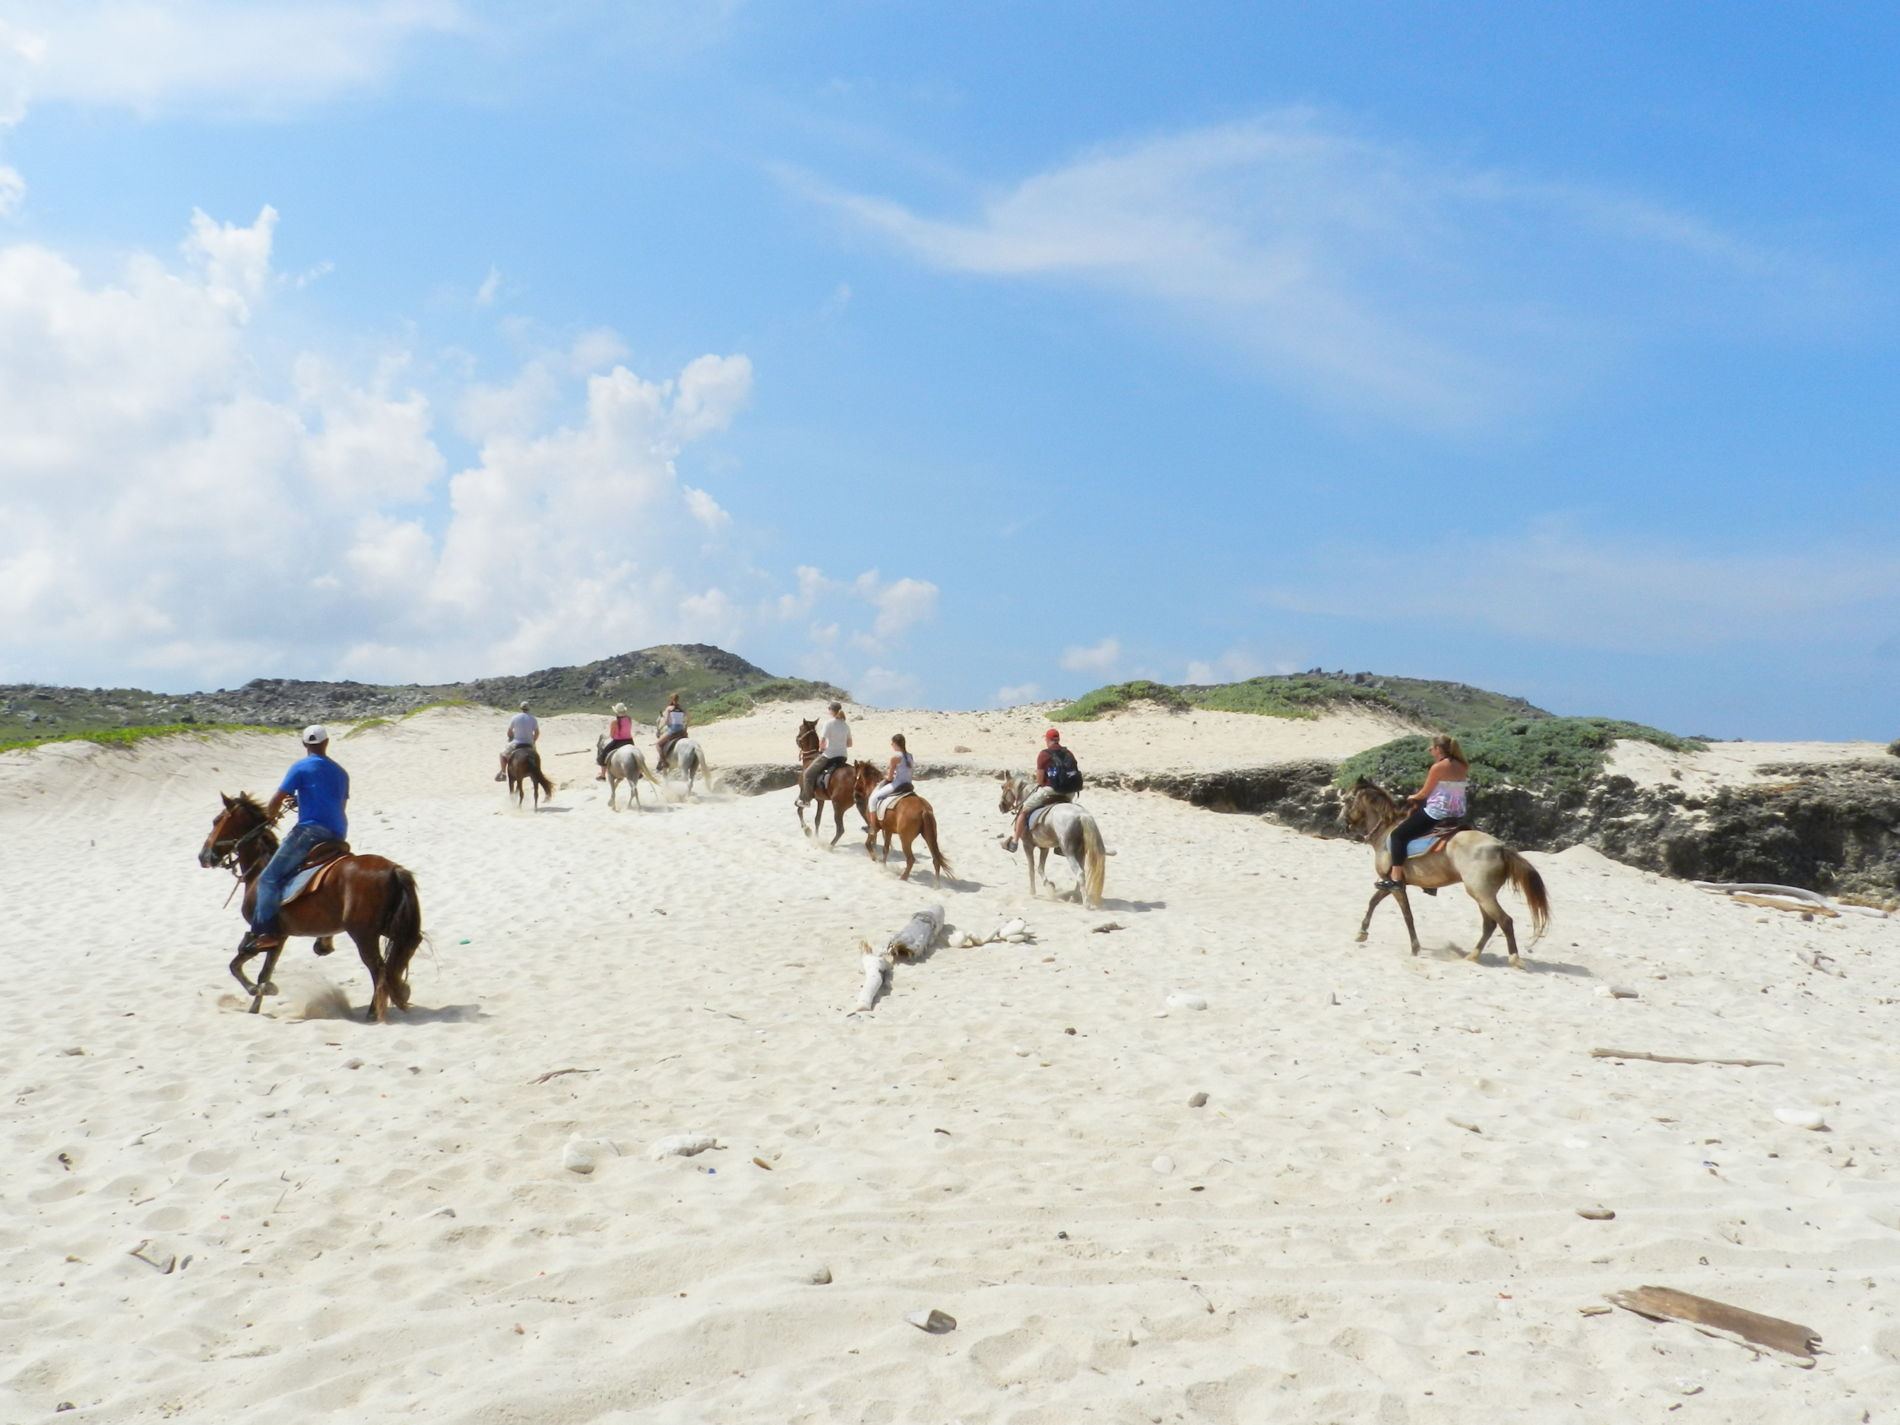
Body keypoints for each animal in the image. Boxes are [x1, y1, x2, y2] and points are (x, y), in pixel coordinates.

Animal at [197, 793, 424, 1022]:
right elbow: (264, 971)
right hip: (392, 927)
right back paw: (398, 993)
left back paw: (373, 1013)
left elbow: (238, 961)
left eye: (216, 820)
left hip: (364, 934)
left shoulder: (263, 932)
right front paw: (256, 1003)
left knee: (378, 968)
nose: (202, 856)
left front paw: (257, 989)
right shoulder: (279, 936)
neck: (260, 870)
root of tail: (394, 870)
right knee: (403, 951)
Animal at [997, 773, 1107, 908]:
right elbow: (1040, 868)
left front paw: (1033, 892)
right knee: (1082, 873)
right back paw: (1074, 898)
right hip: (1080, 852)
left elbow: (1031, 868)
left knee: (1080, 873)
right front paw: (1050, 886)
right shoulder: (1044, 848)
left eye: (1002, 787)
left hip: (1069, 852)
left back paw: (1085, 903)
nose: (1000, 806)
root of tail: (1082, 815)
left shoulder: (1027, 845)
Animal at [1340, 778, 1551, 967]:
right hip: (1483, 895)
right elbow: (1373, 902)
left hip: (1482, 895)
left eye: (1347, 800)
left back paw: (1514, 959)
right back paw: (1473, 956)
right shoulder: (1389, 883)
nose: (1343, 823)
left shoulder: (1396, 886)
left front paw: (1415, 947)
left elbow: (1407, 915)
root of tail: (1500, 847)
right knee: (1490, 924)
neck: (1386, 832)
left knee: (1505, 921)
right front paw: (1362, 933)